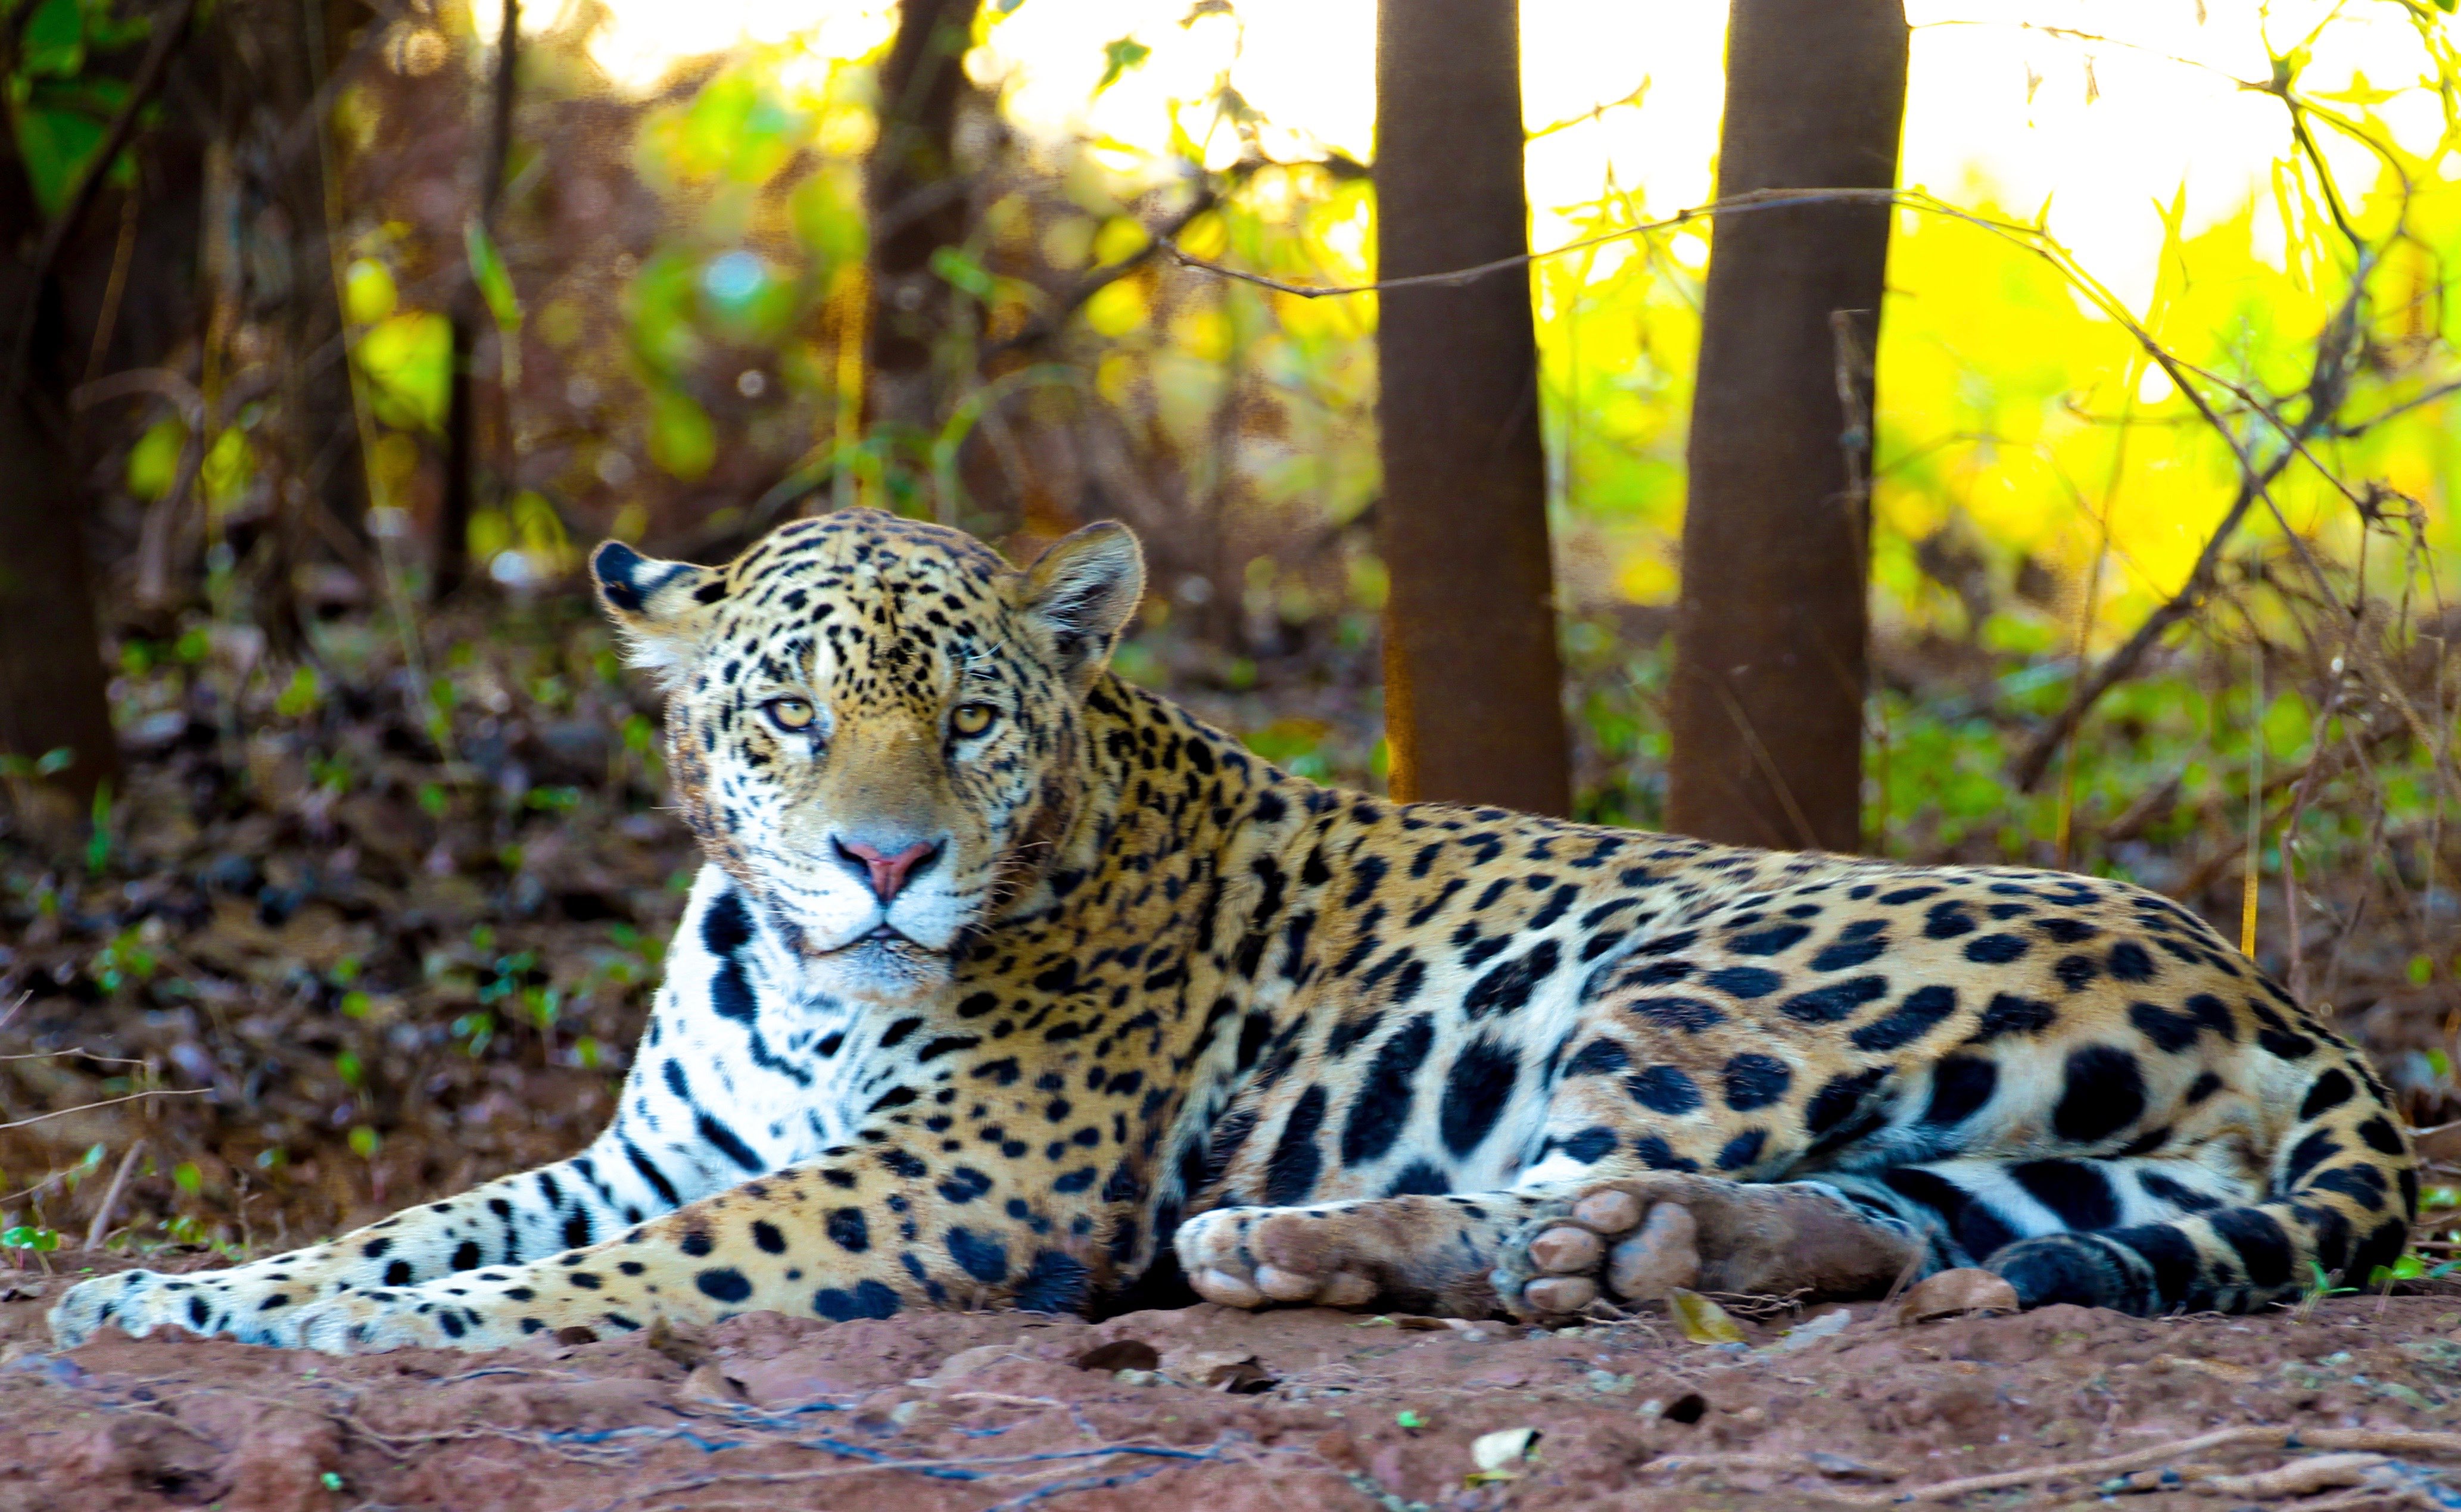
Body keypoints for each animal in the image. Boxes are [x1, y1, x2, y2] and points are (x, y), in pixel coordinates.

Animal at [52, 508, 2414, 1354]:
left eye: (971, 717)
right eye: (790, 715)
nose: (885, 866)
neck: (793, 980)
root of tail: (2264, 982)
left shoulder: (956, 1178)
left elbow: (608, 1276)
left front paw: (346, 1340)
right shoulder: (657, 1145)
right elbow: (419, 1218)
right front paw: (178, 1289)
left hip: (1680, 975)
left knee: (1553, 1223)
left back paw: (1305, 1249)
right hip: (2019, 1164)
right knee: (1811, 1228)